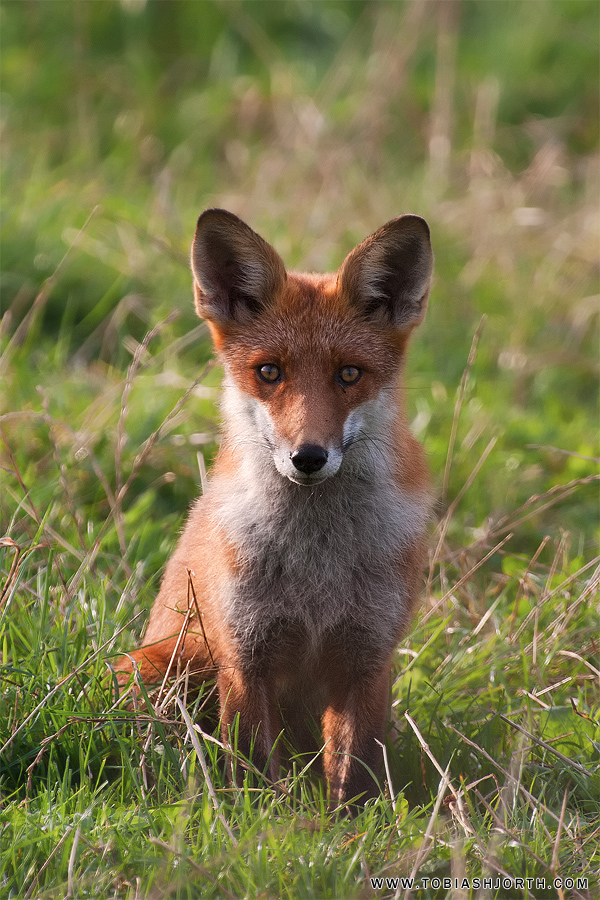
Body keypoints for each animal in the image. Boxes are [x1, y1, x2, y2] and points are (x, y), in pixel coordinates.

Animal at [115, 208, 434, 807]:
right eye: (269, 372)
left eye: (349, 374)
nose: (307, 457)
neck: (316, 567)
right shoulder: (245, 653)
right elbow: (253, 766)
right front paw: (259, 816)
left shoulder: (368, 657)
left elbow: (352, 774)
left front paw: (344, 825)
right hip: (156, 670)